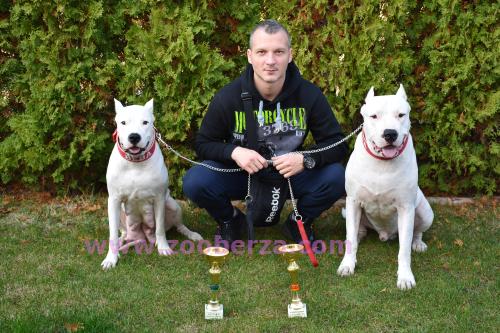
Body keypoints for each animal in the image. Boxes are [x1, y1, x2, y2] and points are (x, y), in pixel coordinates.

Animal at [100, 97, 202, 268]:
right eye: (123, 122)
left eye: (145, 122)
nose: (134, 137)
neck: (135, 163)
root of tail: (142, 234)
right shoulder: (113, 200)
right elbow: (112, 233)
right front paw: (111, 258)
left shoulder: (159, 199)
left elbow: (159, 228)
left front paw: (164, 248)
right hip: (119, 212)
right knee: (123, 232)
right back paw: (122, 240)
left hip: (173, 205)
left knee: (177, 225)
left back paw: (191, 234)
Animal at [336, 85, 434, 288]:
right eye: (374, 116)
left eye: (401, 115)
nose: (390, 133)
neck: (382, 163)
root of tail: (385, 234)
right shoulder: (353, 202)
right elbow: (350, 238)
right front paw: (347, 264)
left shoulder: (406, 208)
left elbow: (404, 250)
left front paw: (405, 276)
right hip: (350, 212)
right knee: (355, 230)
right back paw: (360, 234)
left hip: (425, 213)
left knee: (417, 232)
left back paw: (418, 243)